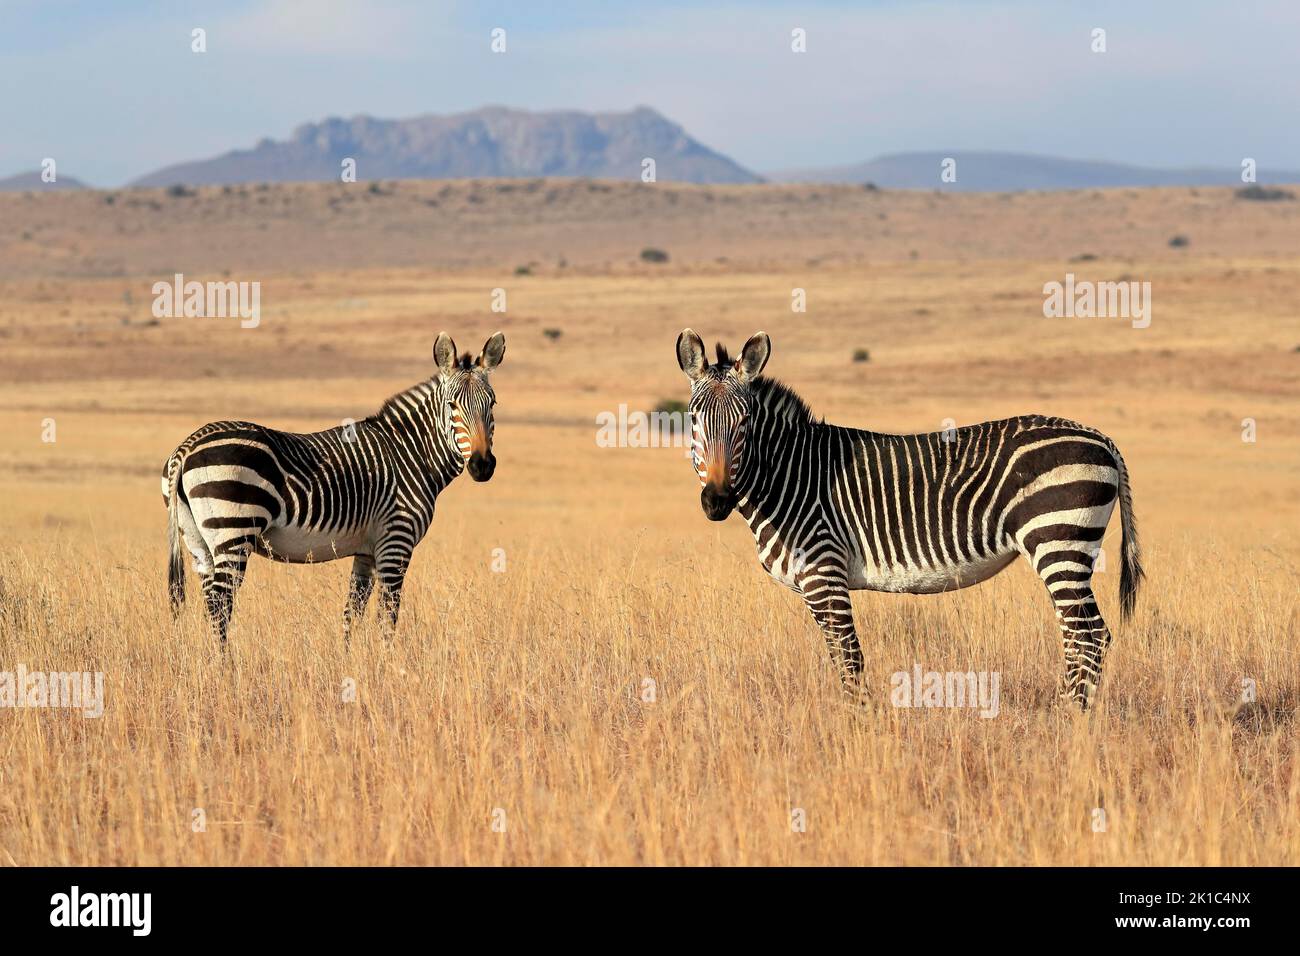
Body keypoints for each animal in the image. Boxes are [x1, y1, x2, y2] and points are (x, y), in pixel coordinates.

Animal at [161, 331, 506, 643]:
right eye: (451, 405)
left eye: (492, 404)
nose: (482, 465)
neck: (409, 452)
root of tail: (188, 445)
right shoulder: (396, 541)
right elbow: (387, 617)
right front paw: (390, 664)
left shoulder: (367, 550)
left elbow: (352, 612)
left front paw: (352, 661)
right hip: (233, 533)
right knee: (220, 605)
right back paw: (226, 669)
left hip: (198, 541)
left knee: (210, 600)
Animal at [675, 329, 1142, 710]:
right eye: (694, 419)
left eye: (745, 423)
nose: (717, 501)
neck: (790, 475)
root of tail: (1102, 438)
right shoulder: (813, 586)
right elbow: (838, 656)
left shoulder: (825, 571)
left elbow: (850, 658)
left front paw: (859, 727)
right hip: (1064, 549)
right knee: (1077, 636)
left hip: (1059, 541)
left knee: (1090, 636)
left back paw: (1071, 722)